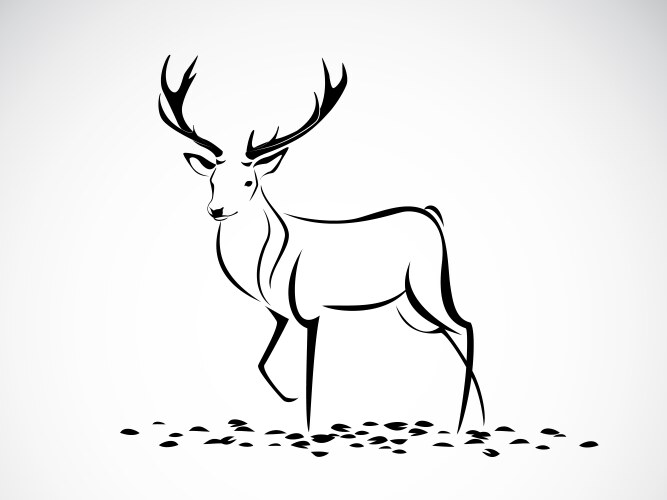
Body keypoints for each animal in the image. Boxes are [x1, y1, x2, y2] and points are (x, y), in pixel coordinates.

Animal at [158, 56, 485, 432]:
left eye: (249, 182)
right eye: (212, 179)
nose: (217, 210)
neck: (264, 263)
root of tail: (432, 215)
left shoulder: (310, 310)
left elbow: (310, 379)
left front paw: (309, 426)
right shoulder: (281, 313)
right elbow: (261, 361)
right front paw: (286, 396)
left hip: (427, 283)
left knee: (465, 326)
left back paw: (462, 421)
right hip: (409, 305)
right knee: (451, 334)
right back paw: (474, 415)